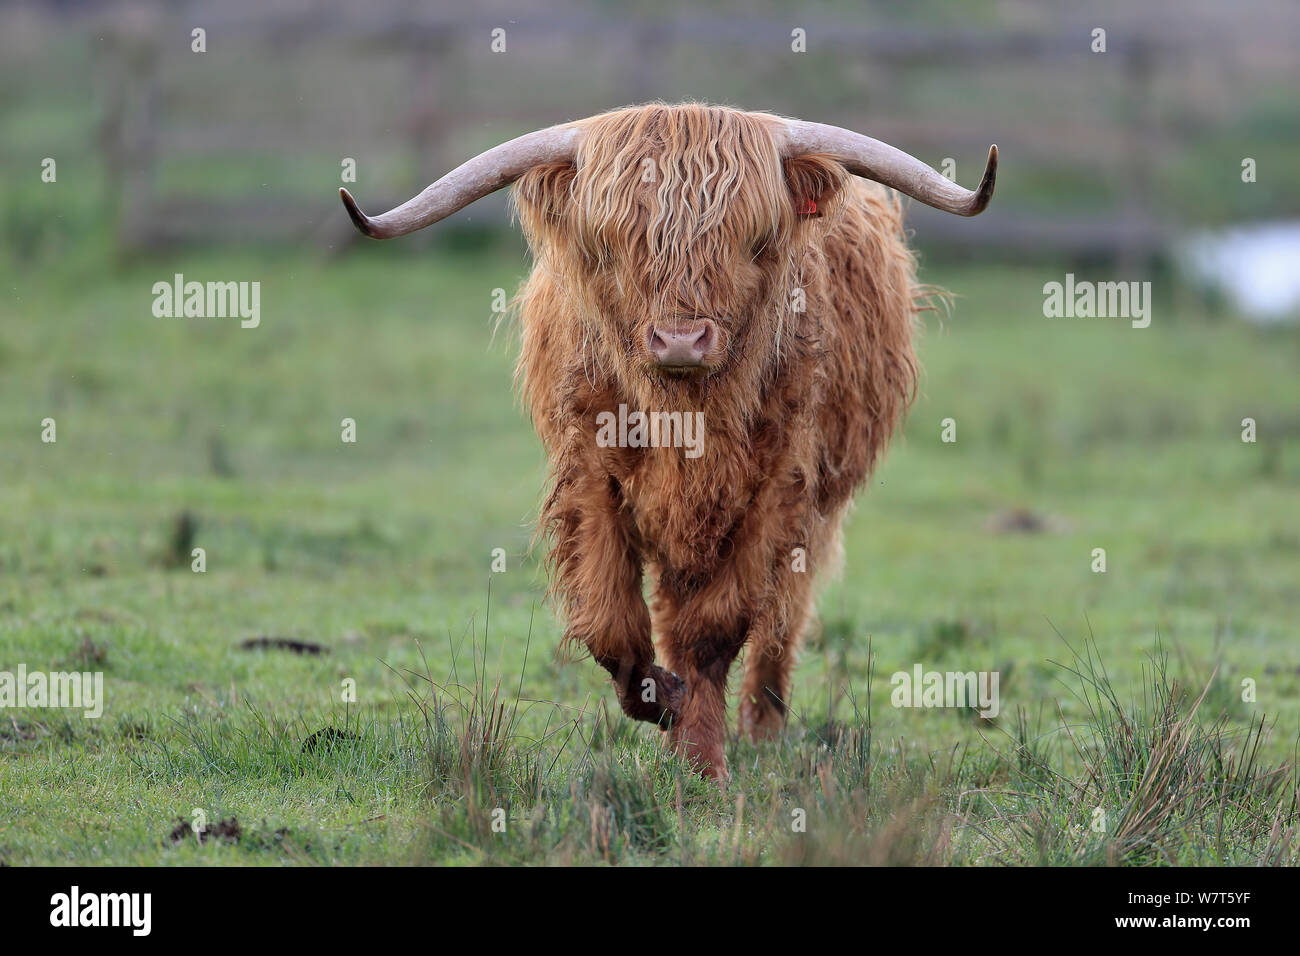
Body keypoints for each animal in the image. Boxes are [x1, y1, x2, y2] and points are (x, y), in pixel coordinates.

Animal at [340, 103, 996, 781]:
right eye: (612, 242)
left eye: (750, 237)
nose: (681, 340)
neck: (685, 417)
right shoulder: (590, 475)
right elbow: (612, 623)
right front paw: (666, 704)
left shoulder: (778, 485)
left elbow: (714, 630)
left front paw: (702, 757)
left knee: (781, 616)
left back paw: (763, 727)